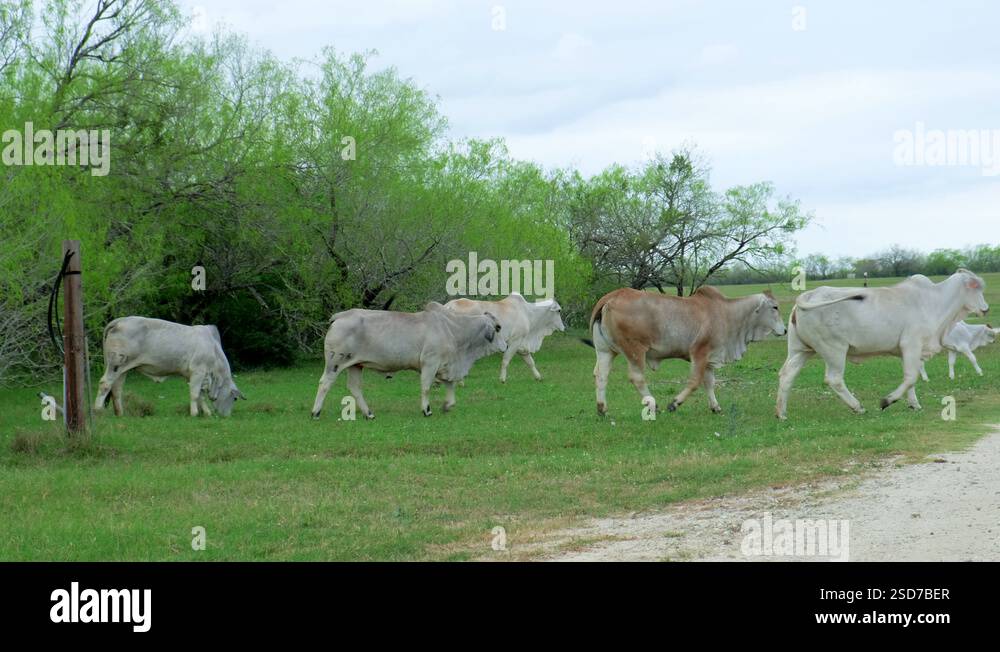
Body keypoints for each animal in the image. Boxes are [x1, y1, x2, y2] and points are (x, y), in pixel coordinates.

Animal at [94, 317, 245, 417]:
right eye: (235, 399)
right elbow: (195, 394)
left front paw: (206, 413)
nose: (227, 416)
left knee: (117, 389)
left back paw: (120, 413)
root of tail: (120, 320)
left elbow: (200, 395)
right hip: (115, 364)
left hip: (122, 369)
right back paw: (98, 410)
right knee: (105, 384)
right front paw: (194, 413)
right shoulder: (198, 371)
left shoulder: (194, 376)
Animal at [310, 303, 507, 419]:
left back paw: (369, 413)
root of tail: (341, 316)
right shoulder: (430, 363)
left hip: (356, 365)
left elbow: (450, 386)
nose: (506, 345)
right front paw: (427, 410)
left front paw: (447, 405)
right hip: (335, 363)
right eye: (498, 327)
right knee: (325, 383)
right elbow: (426, 387)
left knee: (355, 387)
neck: (453, 330)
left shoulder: (446, 366)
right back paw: (316, 412)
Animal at [587, 286, 786, 416]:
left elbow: (709, 382)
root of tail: (612, 296)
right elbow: (695, 381)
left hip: (605, 351)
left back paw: (602, 408)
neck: (727, 314)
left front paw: (715, 407)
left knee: (601, 375)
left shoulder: (709, 358)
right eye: (775, 307)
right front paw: (674, 404)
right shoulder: (699, 353)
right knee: (637, 378)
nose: (784, 330)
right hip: (636, 350)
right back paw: (653, 406)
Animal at [775, 269, 989, 419]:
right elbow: (911, 377)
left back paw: (781, 413)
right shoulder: (911, 344)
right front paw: (887, 401)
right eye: (976, 287)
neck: (934, 301)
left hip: (800, 350)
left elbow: (911, 378)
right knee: (834, 379)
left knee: (787, 375)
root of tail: (810, 295)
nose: (986, 309)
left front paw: (914, 404)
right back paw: (857, 407)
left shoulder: (908, 352)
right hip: (834, 350)